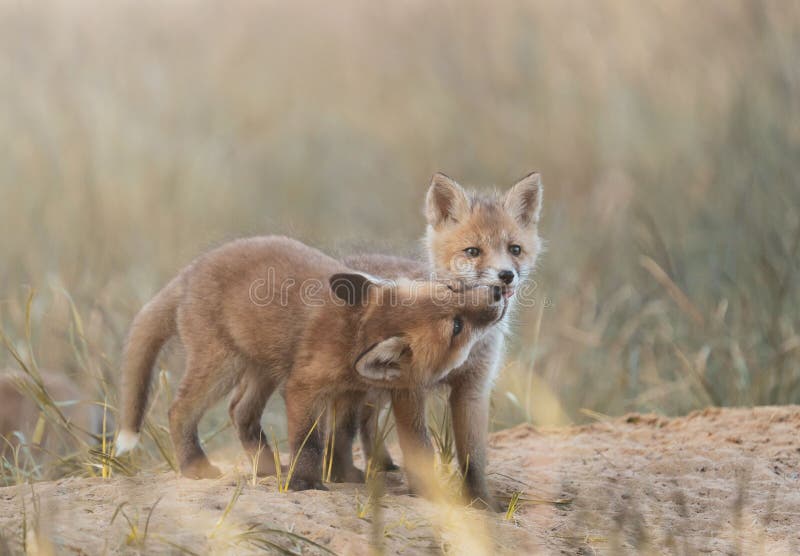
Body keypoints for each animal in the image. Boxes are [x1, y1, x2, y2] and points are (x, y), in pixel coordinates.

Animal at [115, 235, 506, 490]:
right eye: (457, 326)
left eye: (451, 290)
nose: (498, 291)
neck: (352, 334)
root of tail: (190, 270)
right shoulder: (304, 387)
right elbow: (310, 440)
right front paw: (304, 480)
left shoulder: (350, 392)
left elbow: (342, 436)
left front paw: (345, 476)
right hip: (222, 366)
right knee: (180, 410)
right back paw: (196, 466)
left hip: (265, 370)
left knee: (240, 412)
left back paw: (269, 468)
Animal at [339, 171, 543, 510]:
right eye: (473, 251)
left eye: (514, 249)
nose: (506, 276)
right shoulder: (409, 389)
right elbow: (421, 449)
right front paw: (427, 497)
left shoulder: (473, 388)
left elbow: (474, 457)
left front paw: (482, 503)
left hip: (377, 384)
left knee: (368, 421)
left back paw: (379, 463)